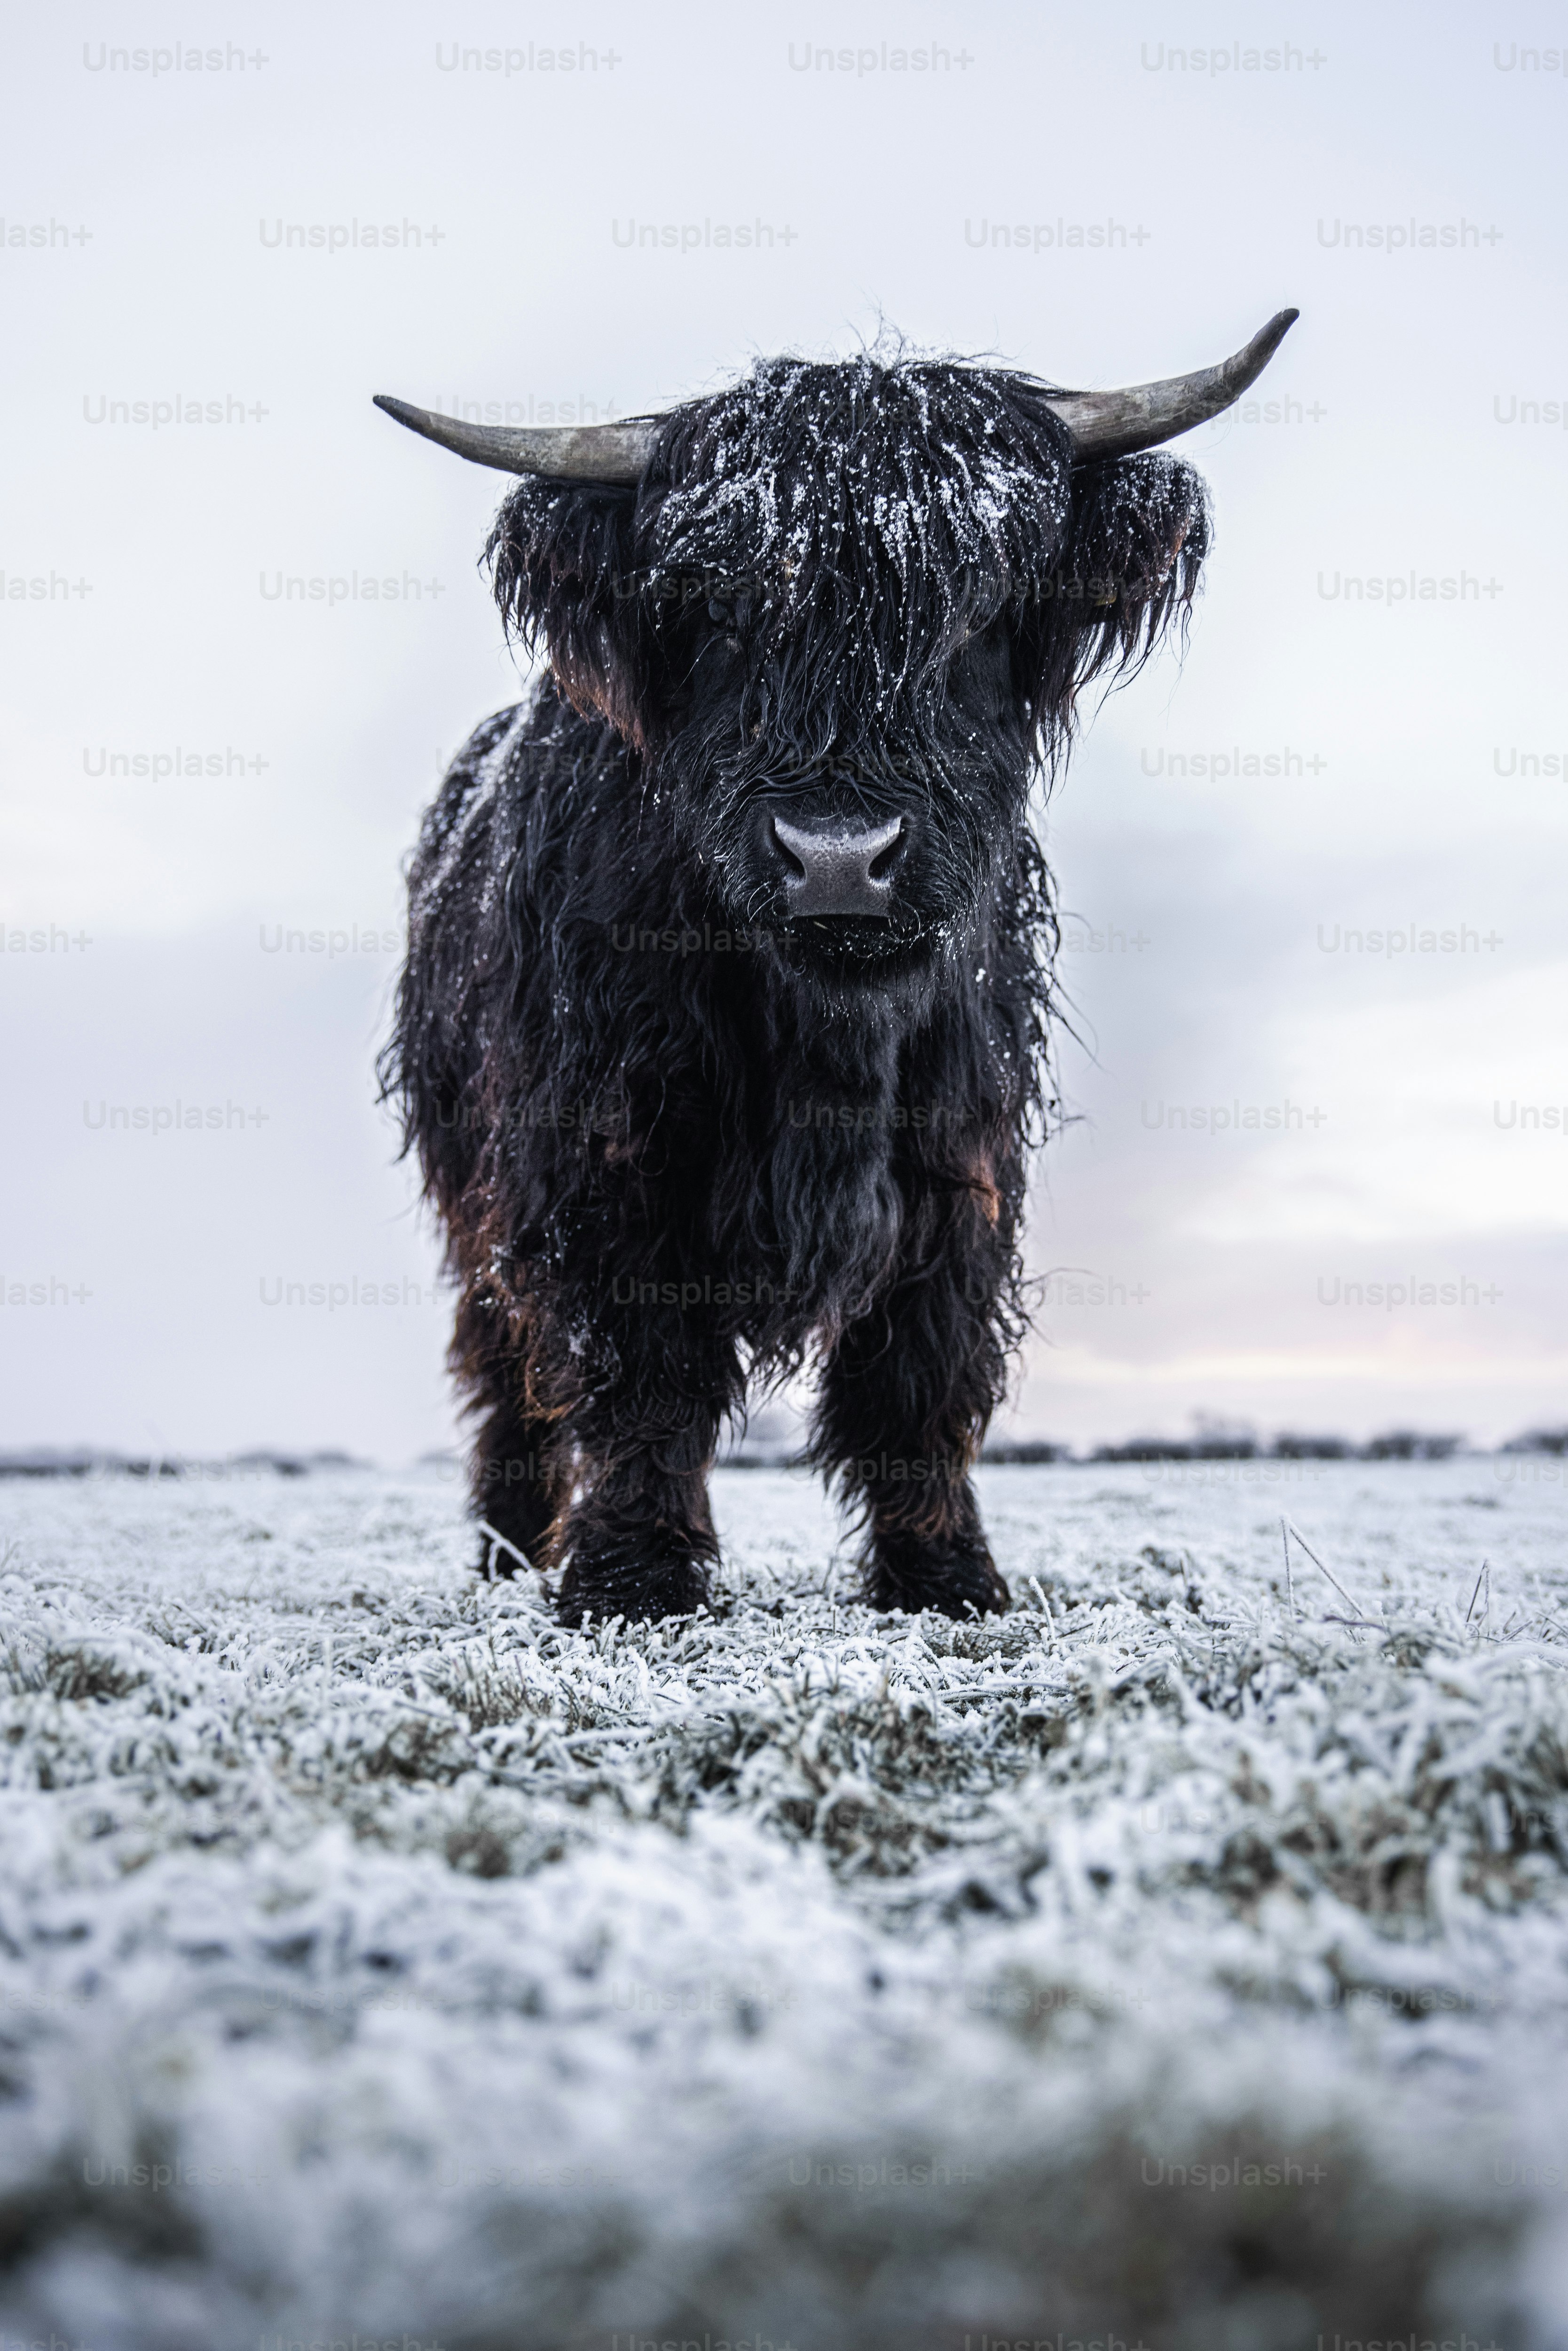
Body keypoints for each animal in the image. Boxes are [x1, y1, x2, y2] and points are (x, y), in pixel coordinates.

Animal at [375, 313, 1296, 1625]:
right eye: (714, 615)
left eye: (976, 613)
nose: (837, 857)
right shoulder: (600, 1153)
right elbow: (636, 1371)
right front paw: (629, 1578)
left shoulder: (958, 1159)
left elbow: (918, 1373)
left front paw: (945, 1578)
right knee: (504, 1362)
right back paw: (510, 1552)